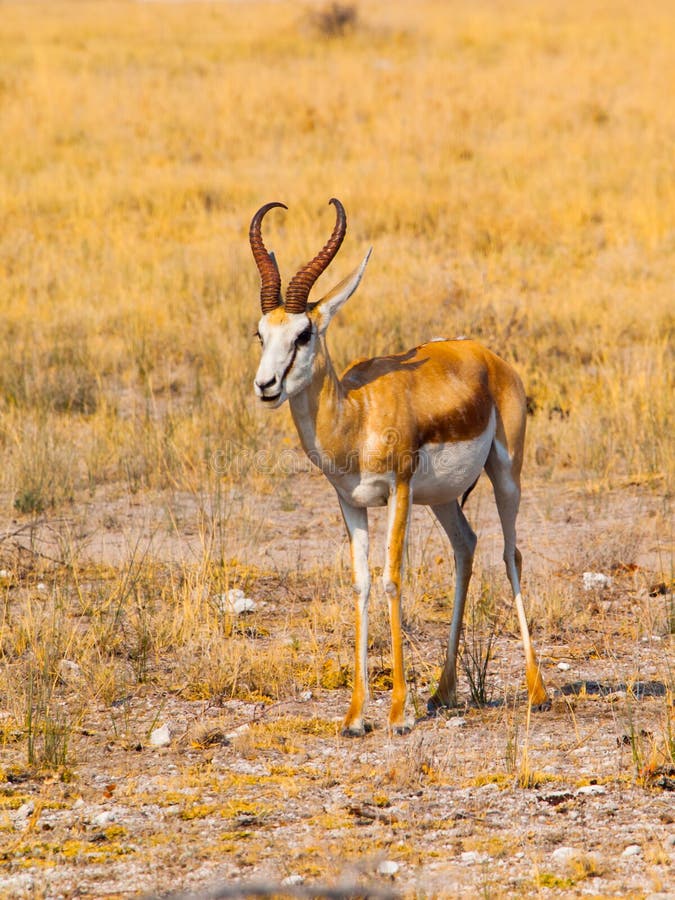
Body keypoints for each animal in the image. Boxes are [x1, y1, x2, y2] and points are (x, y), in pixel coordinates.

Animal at [250, 198, 548, 735]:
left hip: (506, 476)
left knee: (511, 554)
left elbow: (392, 578)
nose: (266, 386)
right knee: (466, 546)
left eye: (304, 333)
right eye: (260, 333)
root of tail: (486, 356)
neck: (357, 417)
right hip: (444, 499)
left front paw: (397, 712)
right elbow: (362, 583)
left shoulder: (399, 491)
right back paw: (444, 691)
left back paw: (537, 691)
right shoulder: (350, 503)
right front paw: (354, 715)